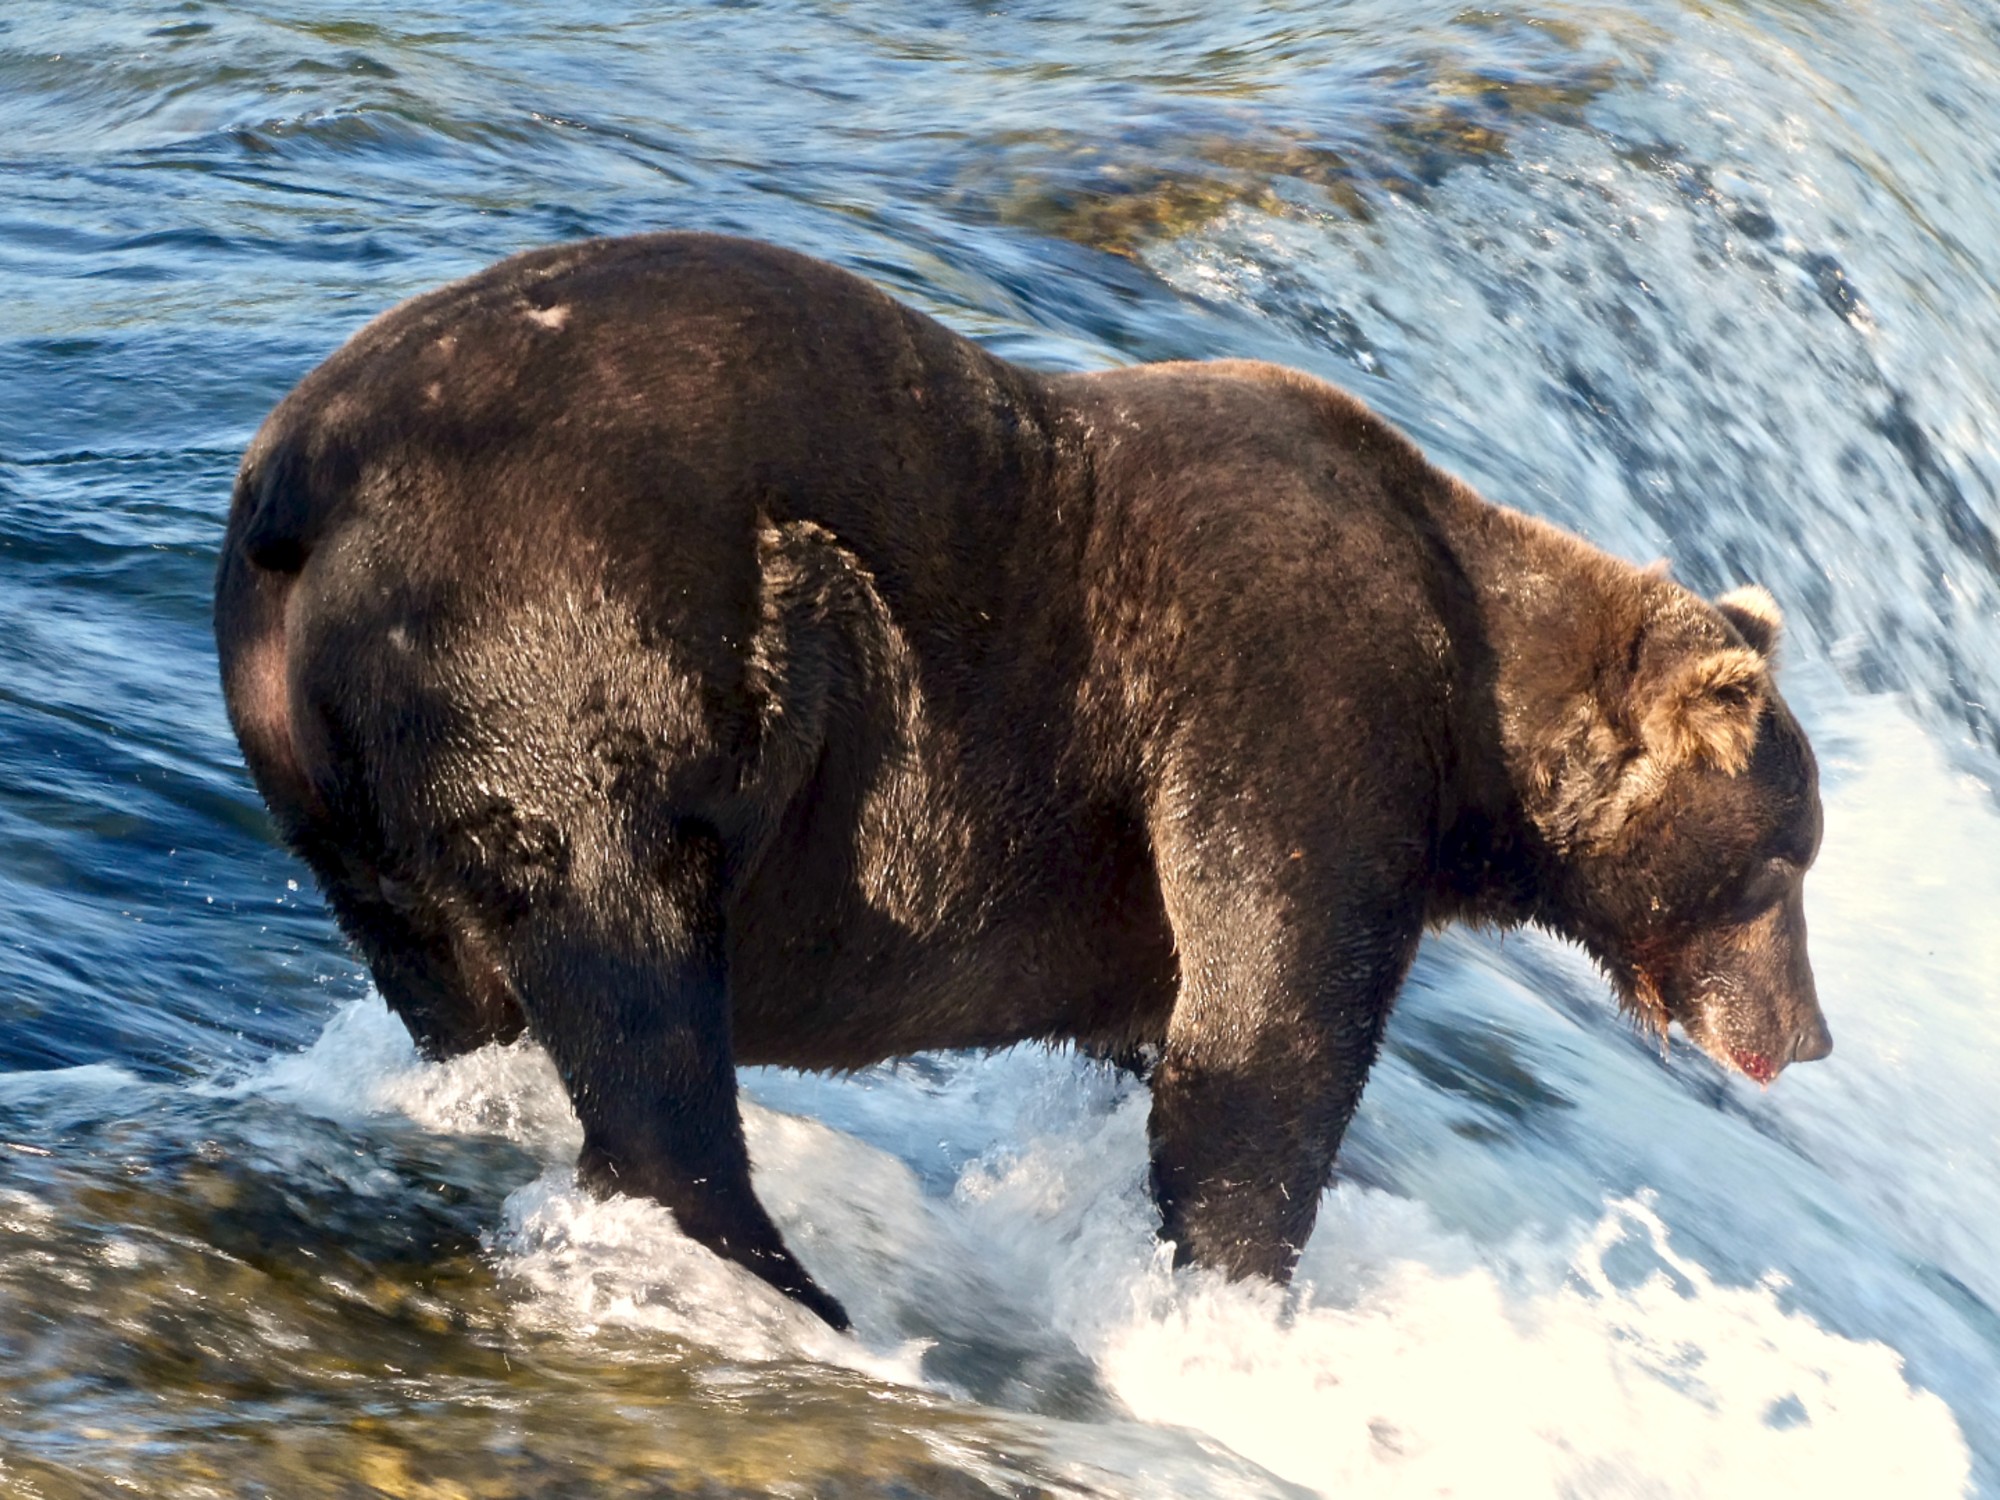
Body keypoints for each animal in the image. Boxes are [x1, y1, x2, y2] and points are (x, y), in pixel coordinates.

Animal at [215, 233, 1829, 1332]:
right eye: (1784, 864)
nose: (1805, 1037)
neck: (1477, 732)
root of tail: (300, 477)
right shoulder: (1293, 696)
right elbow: (1268, 1035)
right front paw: (1238, 1301)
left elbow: (1170, 1020)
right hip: (586, 619)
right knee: (631, 944)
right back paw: (785, 1275)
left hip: (319, 752)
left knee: (449, 966)